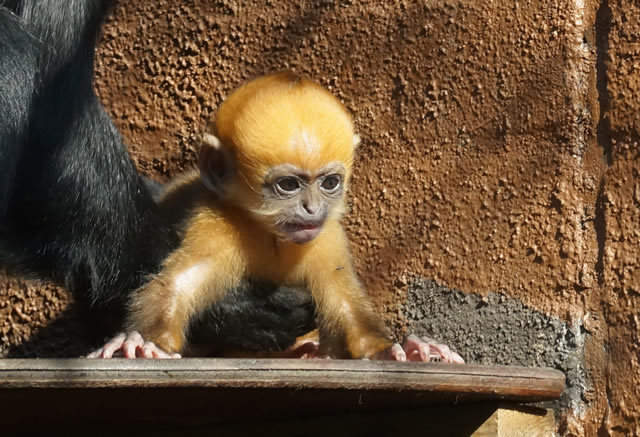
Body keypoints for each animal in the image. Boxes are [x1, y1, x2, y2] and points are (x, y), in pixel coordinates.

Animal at [92, 72, 464, 363]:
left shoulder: (324, 236)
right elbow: (177, 284)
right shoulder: (216, 223)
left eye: (330, 183)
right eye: (288, 185)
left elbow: (346, 307)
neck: (271, 235)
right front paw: (143, 342)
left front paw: (396, 350)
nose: (312, 209)